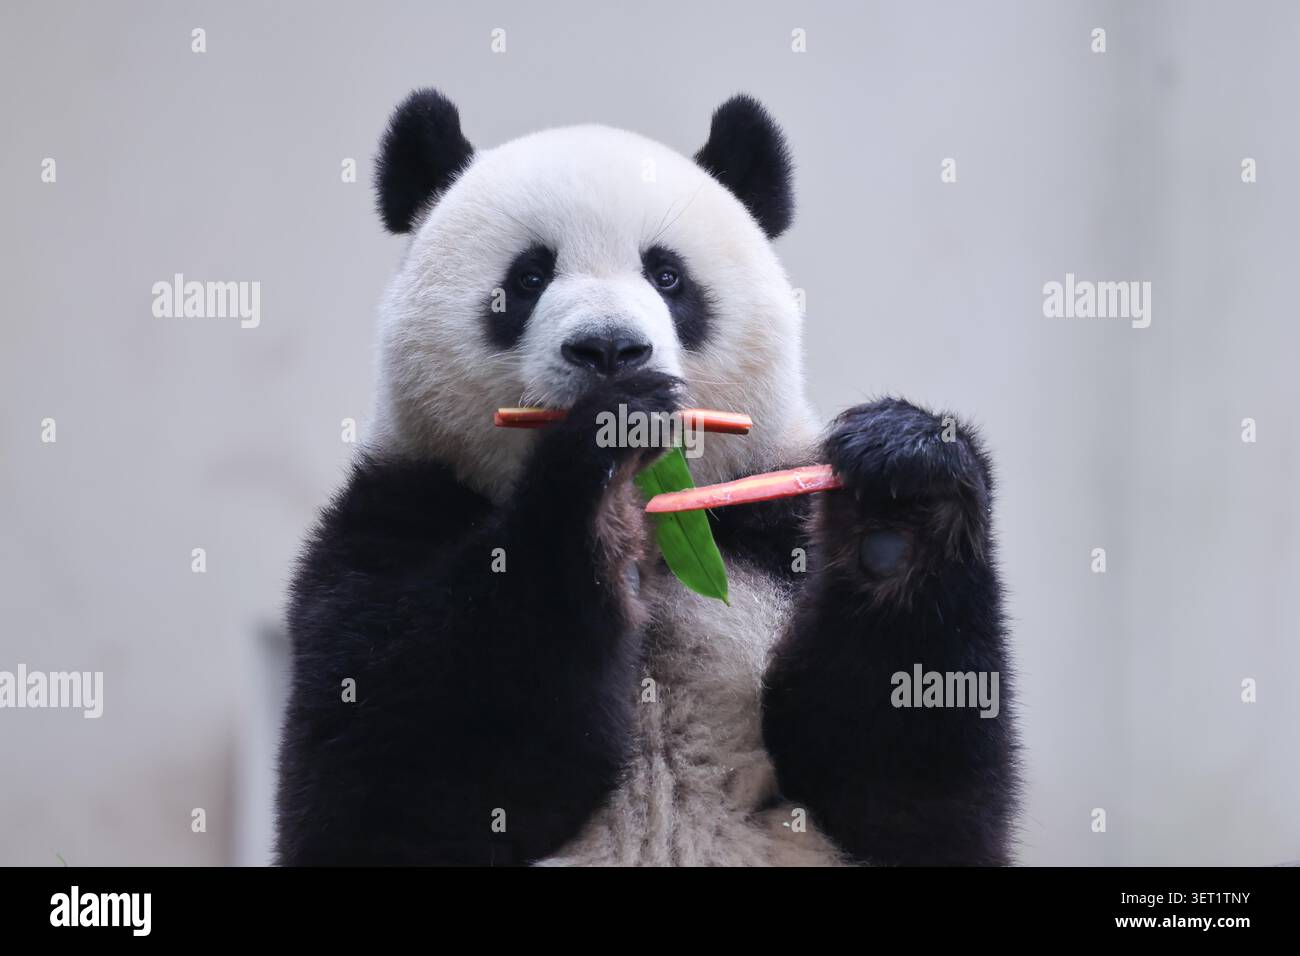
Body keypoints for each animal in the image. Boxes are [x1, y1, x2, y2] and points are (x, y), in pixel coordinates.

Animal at [275, 88, 1019, 866]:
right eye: (528, 277)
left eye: (667, 276)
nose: (610, 349)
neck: (664, 536)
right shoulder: (391, 517)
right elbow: (392, 767)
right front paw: (598, 472)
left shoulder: (774, 535)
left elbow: (904, 780)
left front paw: (903, 499)